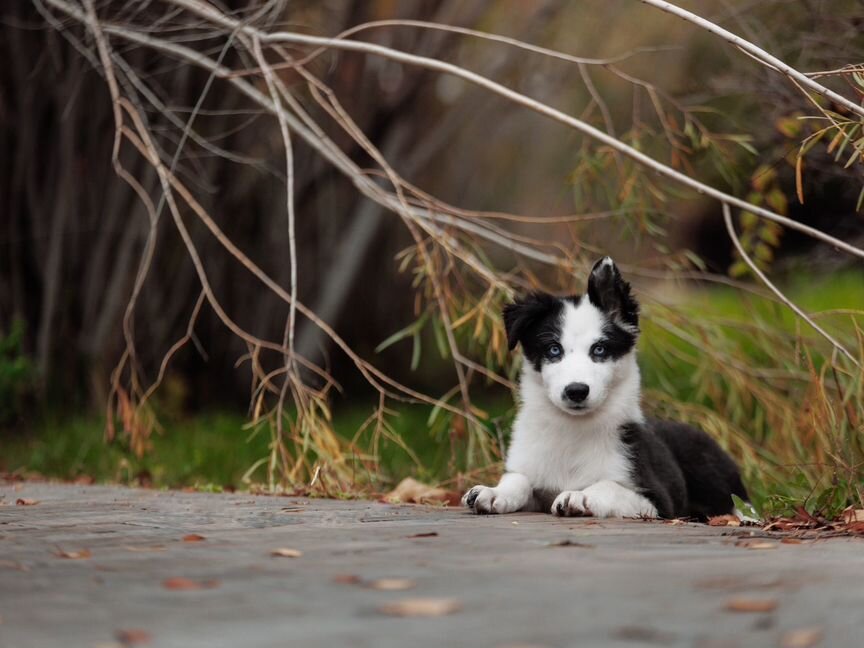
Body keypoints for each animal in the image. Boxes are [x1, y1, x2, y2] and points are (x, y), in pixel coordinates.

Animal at [462, 256, 744, 520]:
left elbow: (609, 485)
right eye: (553, 349)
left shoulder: (658, 499)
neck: (572, 432)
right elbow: (518, 479)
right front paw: (492, 492)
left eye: (599, 349)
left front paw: (580, 496)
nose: (576, 391)